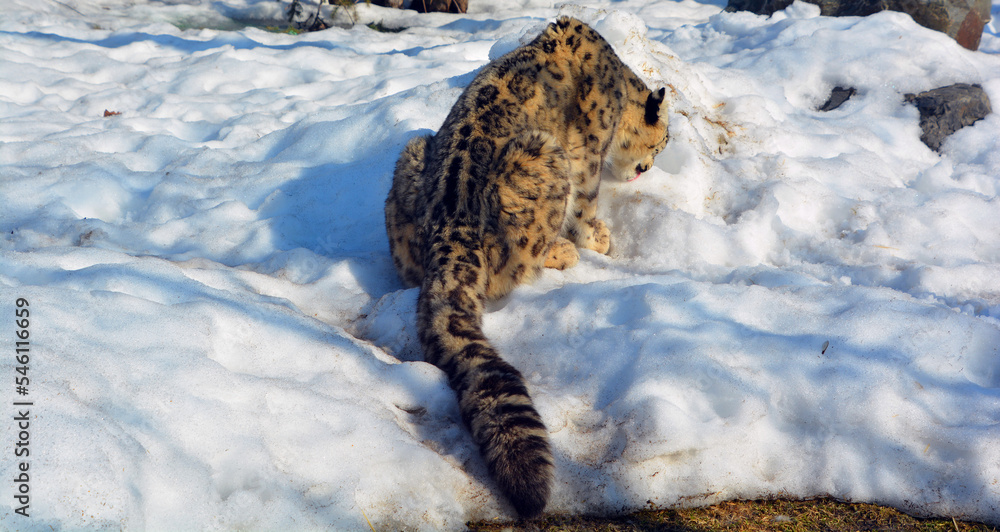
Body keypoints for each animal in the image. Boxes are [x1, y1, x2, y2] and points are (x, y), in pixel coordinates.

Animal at [384, 16, 669, 519]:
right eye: (665, 140)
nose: (649, 166)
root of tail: (449, 226)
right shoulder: (588, 153)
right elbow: (588, 202)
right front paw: (596, 238)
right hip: (544, 158)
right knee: (523, 260)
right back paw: (561, 252)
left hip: (413, 153)